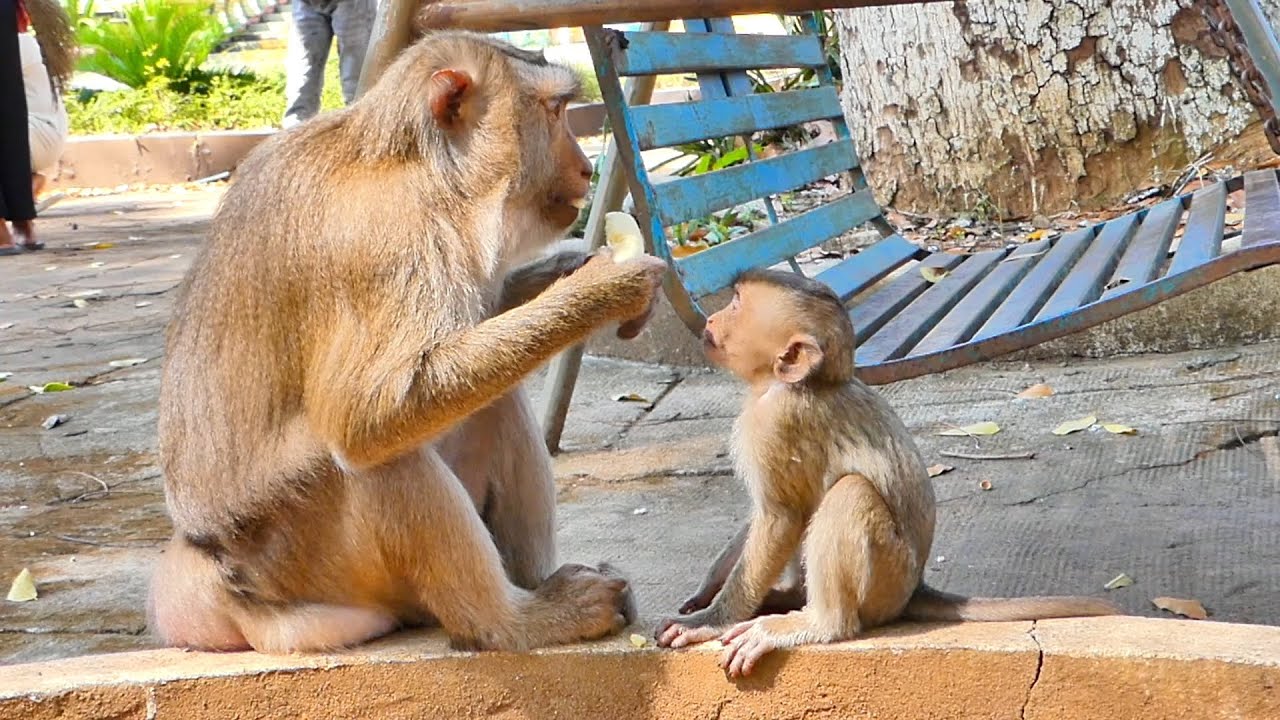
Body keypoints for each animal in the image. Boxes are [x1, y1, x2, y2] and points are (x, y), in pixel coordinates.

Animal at [146, 31, 669, 655]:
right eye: (556, 110)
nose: (587, 167)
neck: (413, 164)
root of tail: (219, 583)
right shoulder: (387, 245)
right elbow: (369, 417)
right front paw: (608, 286)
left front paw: (574, 268)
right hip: (309, 560)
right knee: (376, 457)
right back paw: (512, 622)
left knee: (491, 400)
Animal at [655, 268, 1121, 677]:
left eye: (735, 305)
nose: (712, 319)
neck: (799, 384)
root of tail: (915, 587)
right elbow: (769, 514)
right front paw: (706, 591)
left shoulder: (775, 420)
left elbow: (781, 515)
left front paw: (711, 619)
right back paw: (786, 598)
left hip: (887, 580)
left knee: (850, 493)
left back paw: (820, 623)